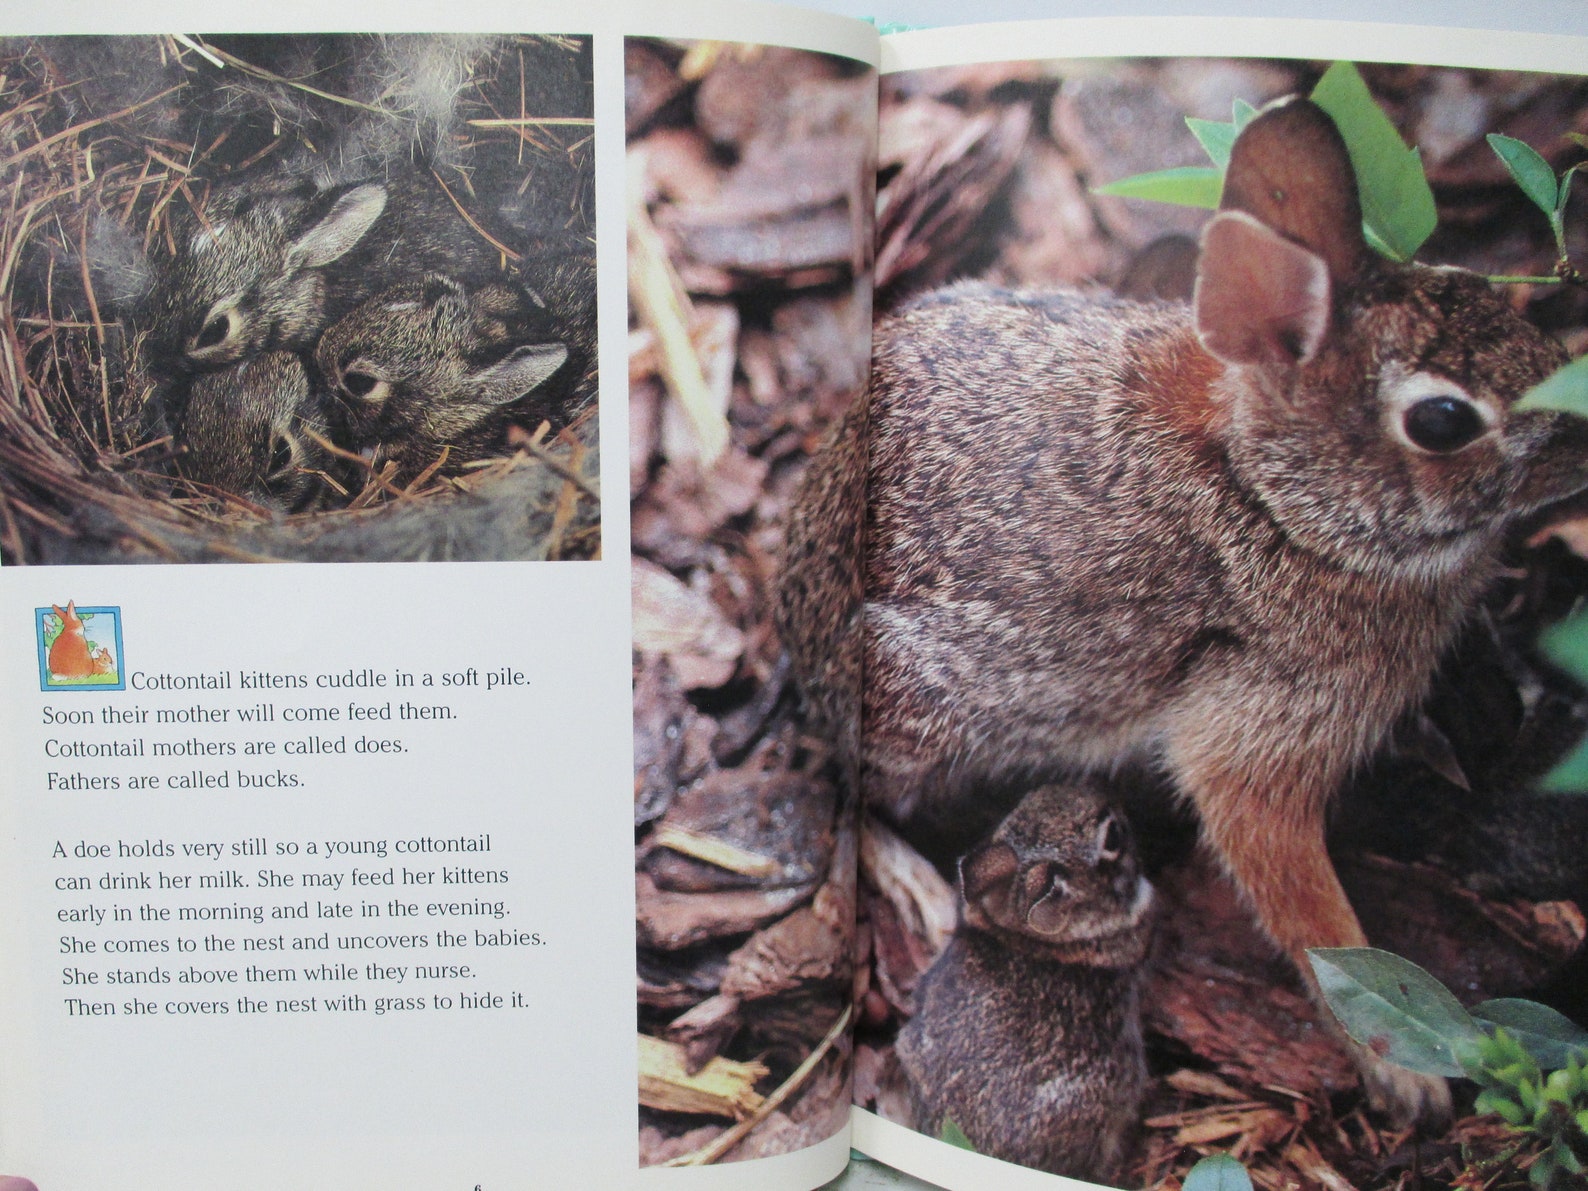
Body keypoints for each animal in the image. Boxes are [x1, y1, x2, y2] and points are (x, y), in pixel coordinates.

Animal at [780, 95, 1588, 1127]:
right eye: (1443, 421)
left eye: (1474, 283)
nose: (1583, 445)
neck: (1279, 498)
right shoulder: (1261, 740)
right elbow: (1310, 911)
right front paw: (1405, 1073)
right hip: (921, 711)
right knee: (863, 791)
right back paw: (919, 891)